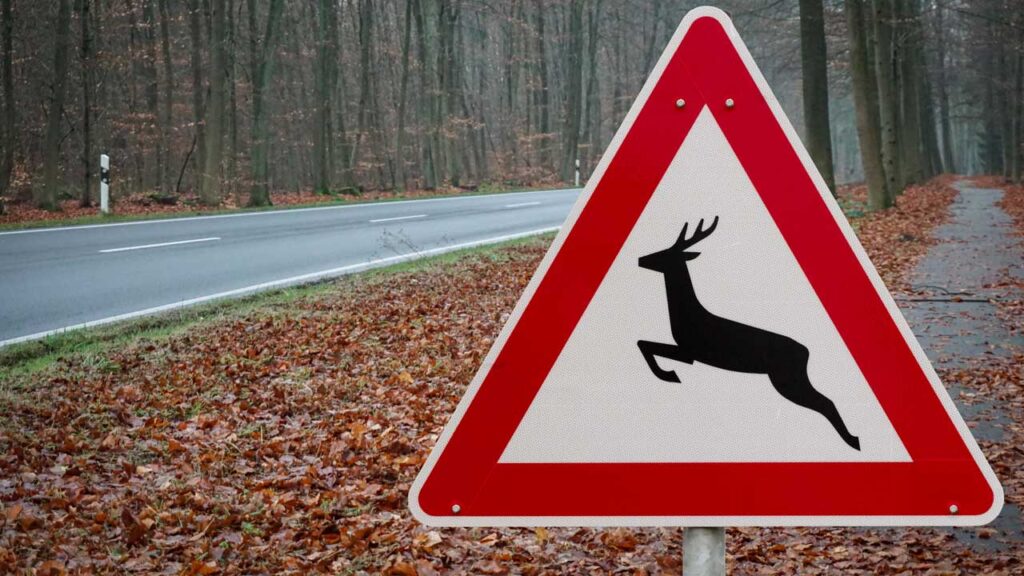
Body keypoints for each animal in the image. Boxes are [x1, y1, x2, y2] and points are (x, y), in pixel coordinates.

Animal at [636, 216, 861, 451]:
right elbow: (644, 343)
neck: (688, 315)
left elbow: (644, 344)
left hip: (787, 380)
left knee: (826, 402)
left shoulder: (690, 352)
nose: (640, 259)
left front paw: (669, 374)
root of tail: (806, 352)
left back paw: (853, 441)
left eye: (664, 254)